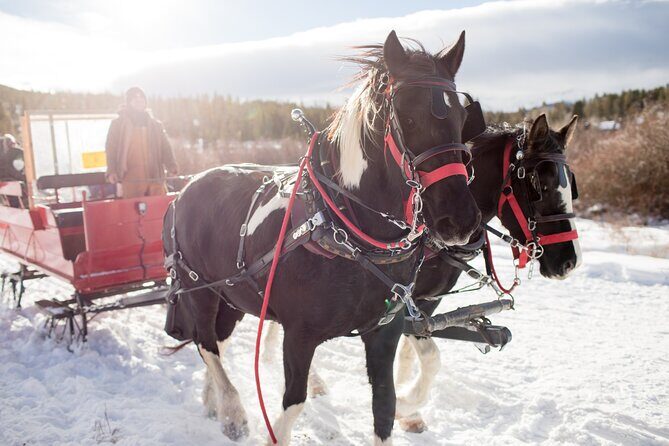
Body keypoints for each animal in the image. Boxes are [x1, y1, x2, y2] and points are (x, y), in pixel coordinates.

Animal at [163, 30, 482, 445]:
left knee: (217, 340)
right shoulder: (299, 335)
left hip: (231, 295)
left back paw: (212, 399)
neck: (350, 230)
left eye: (462, 118)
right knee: (206, 344)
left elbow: (386, 406)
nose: (459, 220)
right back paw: (232, 410)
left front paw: (405, 409)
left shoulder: (385, 332)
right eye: (408, 117)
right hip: (198, 289)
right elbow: (292, 404)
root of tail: (184, 189)